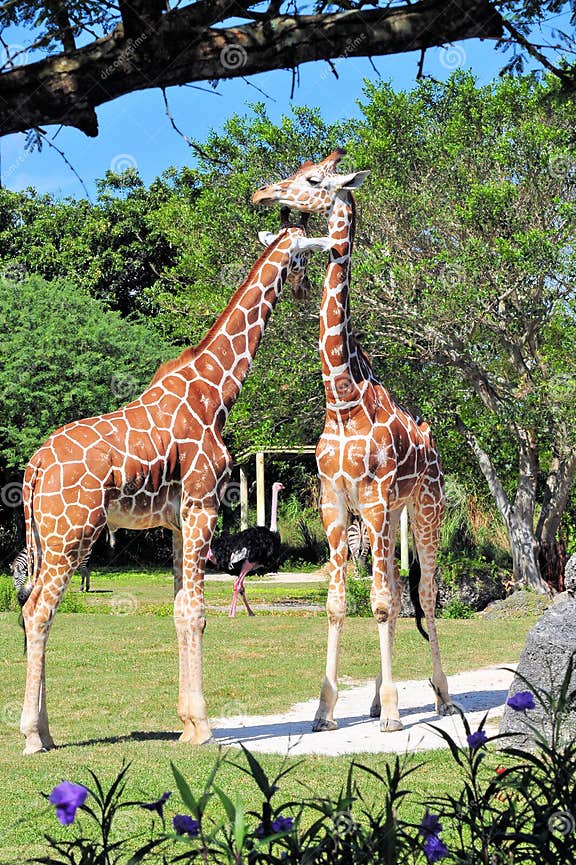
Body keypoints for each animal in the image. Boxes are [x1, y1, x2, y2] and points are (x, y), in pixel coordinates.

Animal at [17, 224, 332, 755]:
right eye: (305, 258)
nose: (307, 290)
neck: (217, 390)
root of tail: (34, 466)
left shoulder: (180, 520)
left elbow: (181, 609)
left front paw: (187, 723)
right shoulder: (204, 505)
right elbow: (198, 613)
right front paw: (203, 728)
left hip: (47, 536)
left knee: (28, 606)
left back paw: (46, 730)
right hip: (71, 533)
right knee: (39, 611)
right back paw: (31, 736)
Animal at [253, 151, 454, 732]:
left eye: (313, 179)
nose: (261, 194)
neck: (342, 398)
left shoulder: (378, 496)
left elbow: (385, 602)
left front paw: (392, 714)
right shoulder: (335, 499)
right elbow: (340, 602)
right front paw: (326, 709)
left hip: (424, 508)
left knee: (424, 593)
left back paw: (439, 696)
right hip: (390, 514)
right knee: (394, 585)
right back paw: (375, 701)